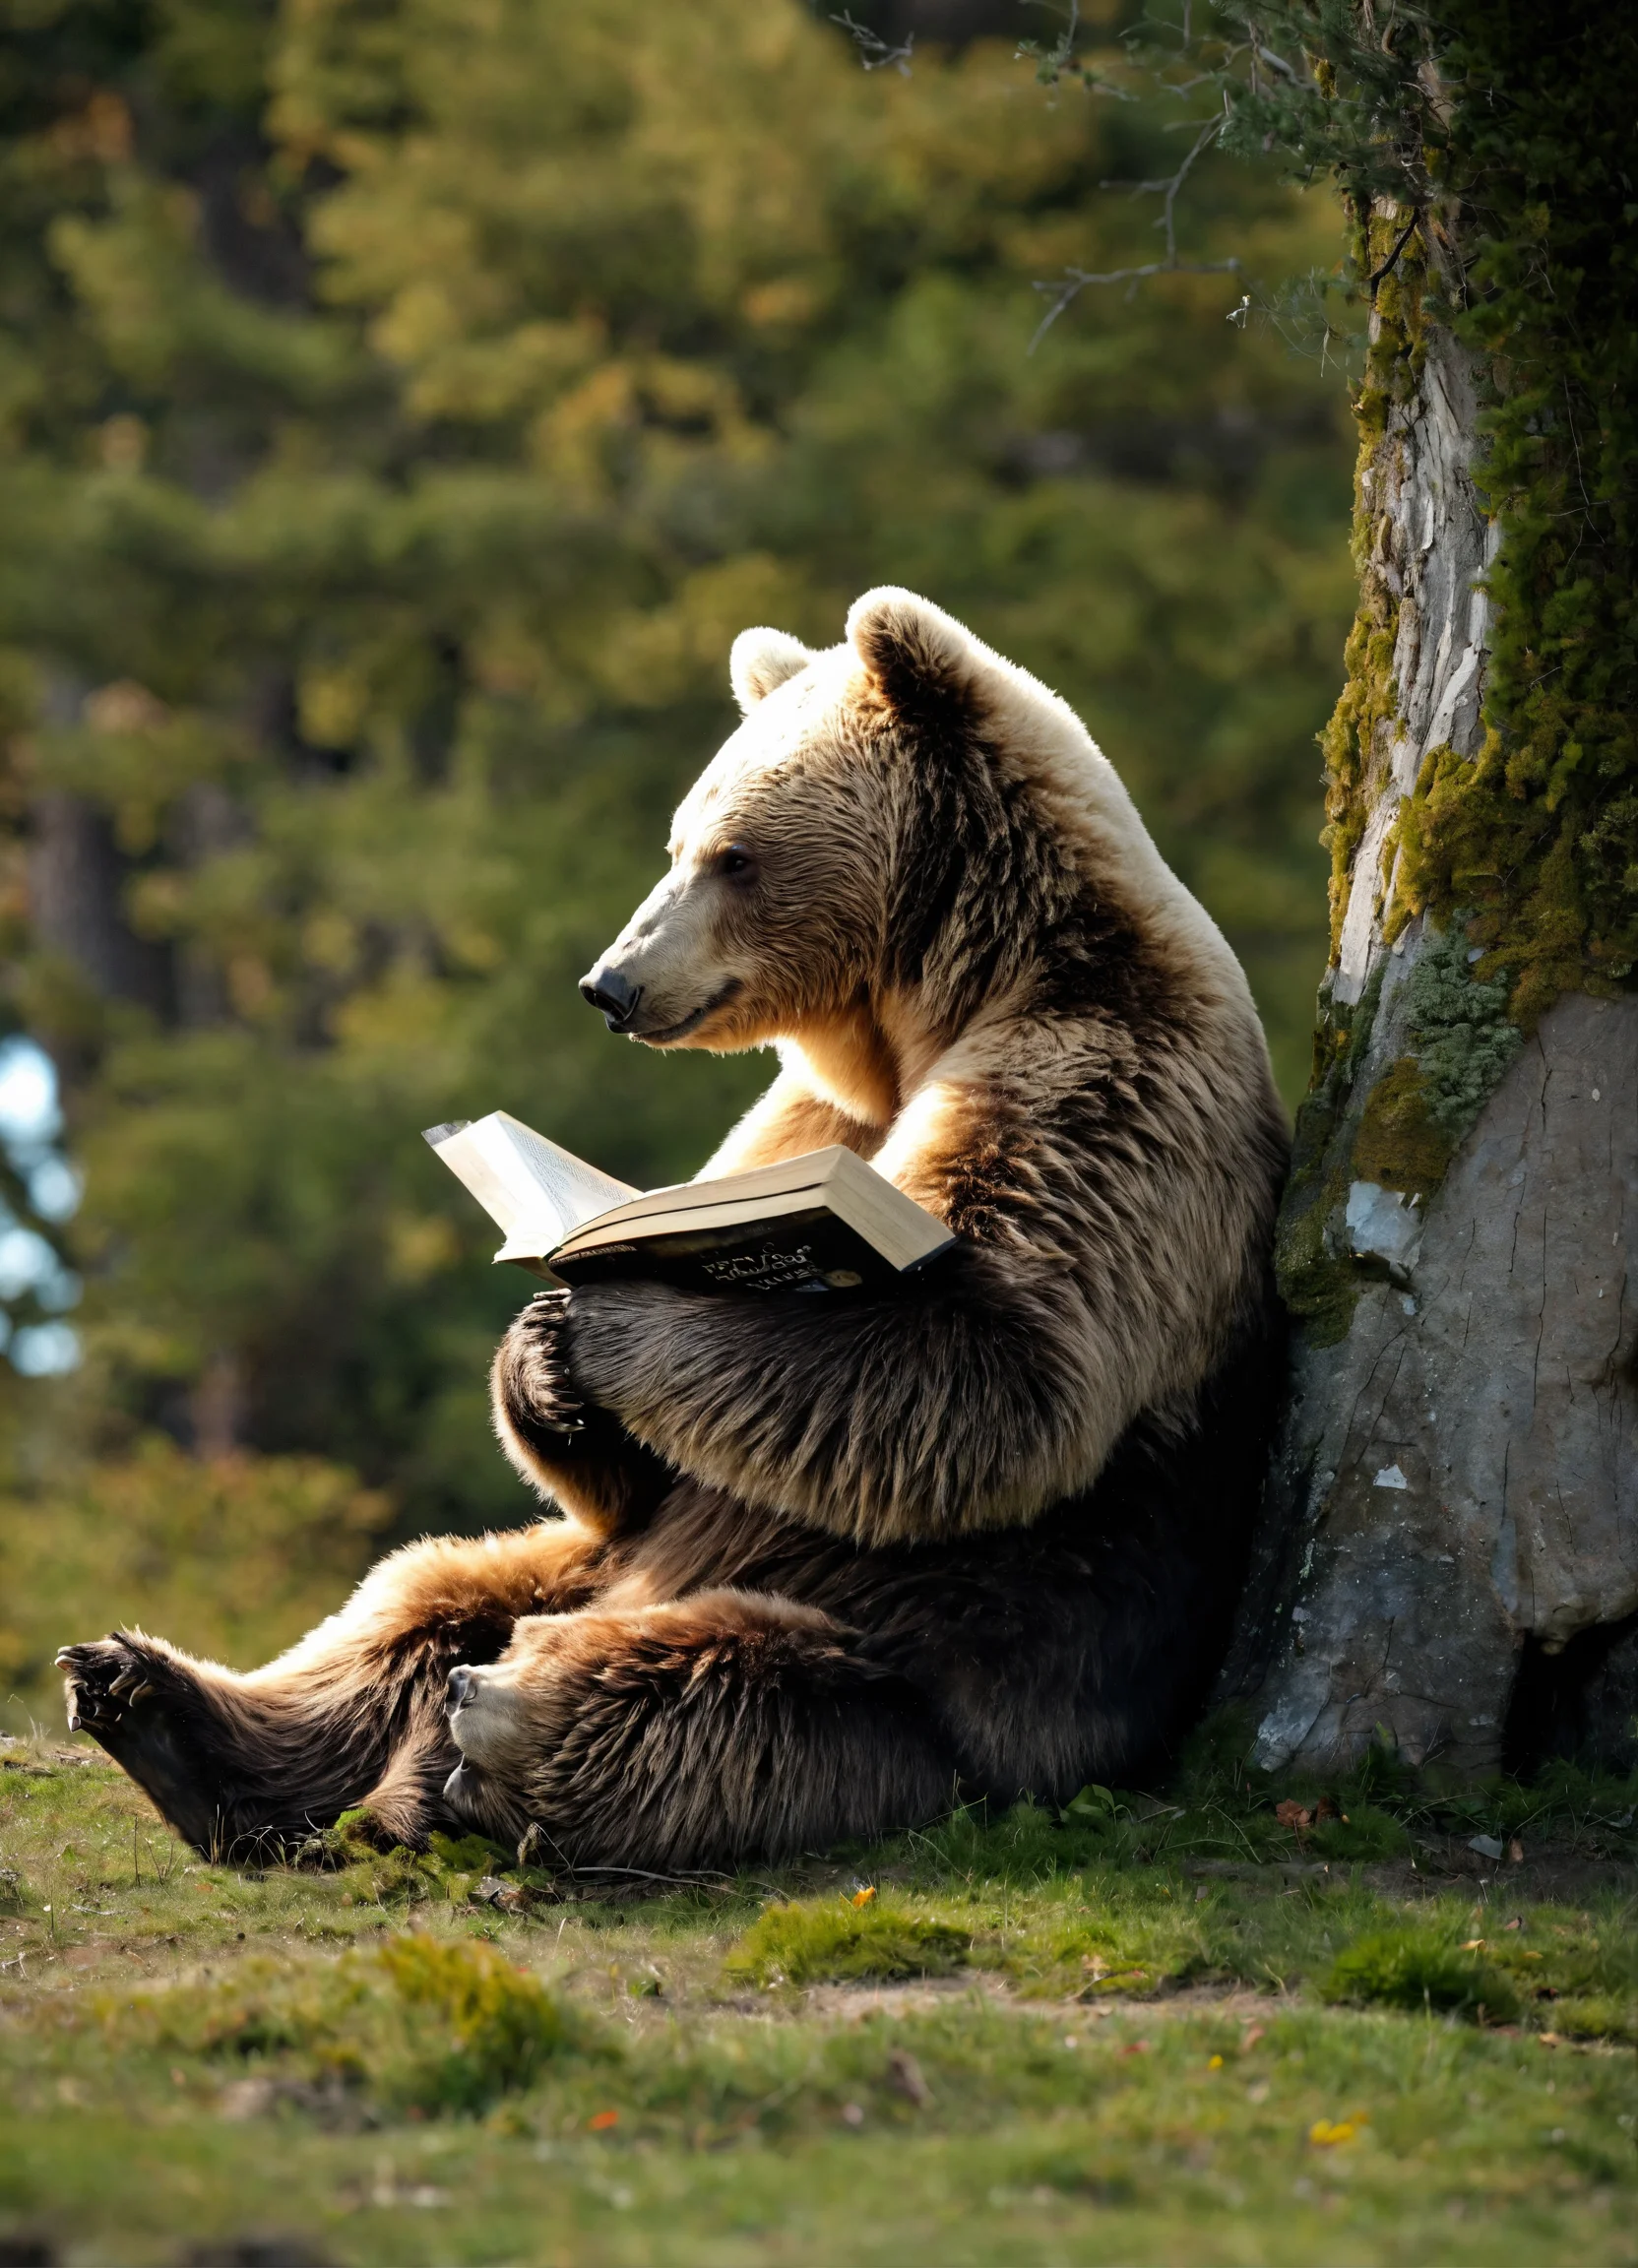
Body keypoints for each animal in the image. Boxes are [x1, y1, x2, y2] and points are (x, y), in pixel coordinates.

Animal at [60, 588, 1289, 1871]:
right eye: (679, 841)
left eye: (732, 854)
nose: (610, 984)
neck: (931, 1003)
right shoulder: (818, 1112)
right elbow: (645, 1457)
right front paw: (539, 1349)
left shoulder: (1098, 1085)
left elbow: (995, 1369)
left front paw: (607, 1319)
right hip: (589, 1567)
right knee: (416, 1597)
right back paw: (160, 1708)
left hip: (939, 1676)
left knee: (694, 1701)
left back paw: (479, 1735)